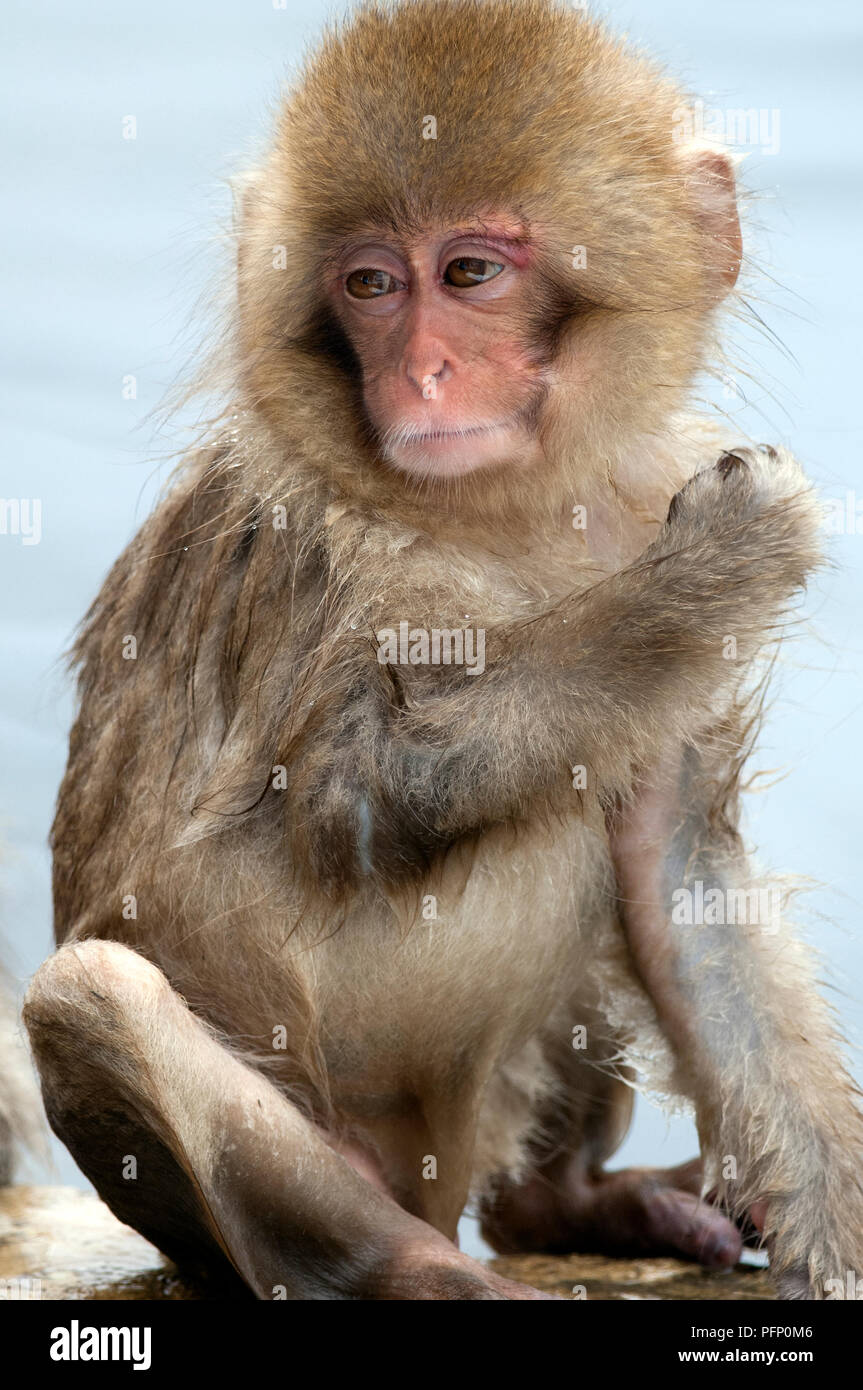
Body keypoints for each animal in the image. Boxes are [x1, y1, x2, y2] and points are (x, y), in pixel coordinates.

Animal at [22, 0, 863, 1300]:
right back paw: (414, 1267)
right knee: (93, 994)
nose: (418, 370)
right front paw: (718, 564)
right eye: (370, 284)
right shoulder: (328, 548)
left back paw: (566, 1201)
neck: (514, 513)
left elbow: (675, 878)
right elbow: (360, 794)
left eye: (467, 273)